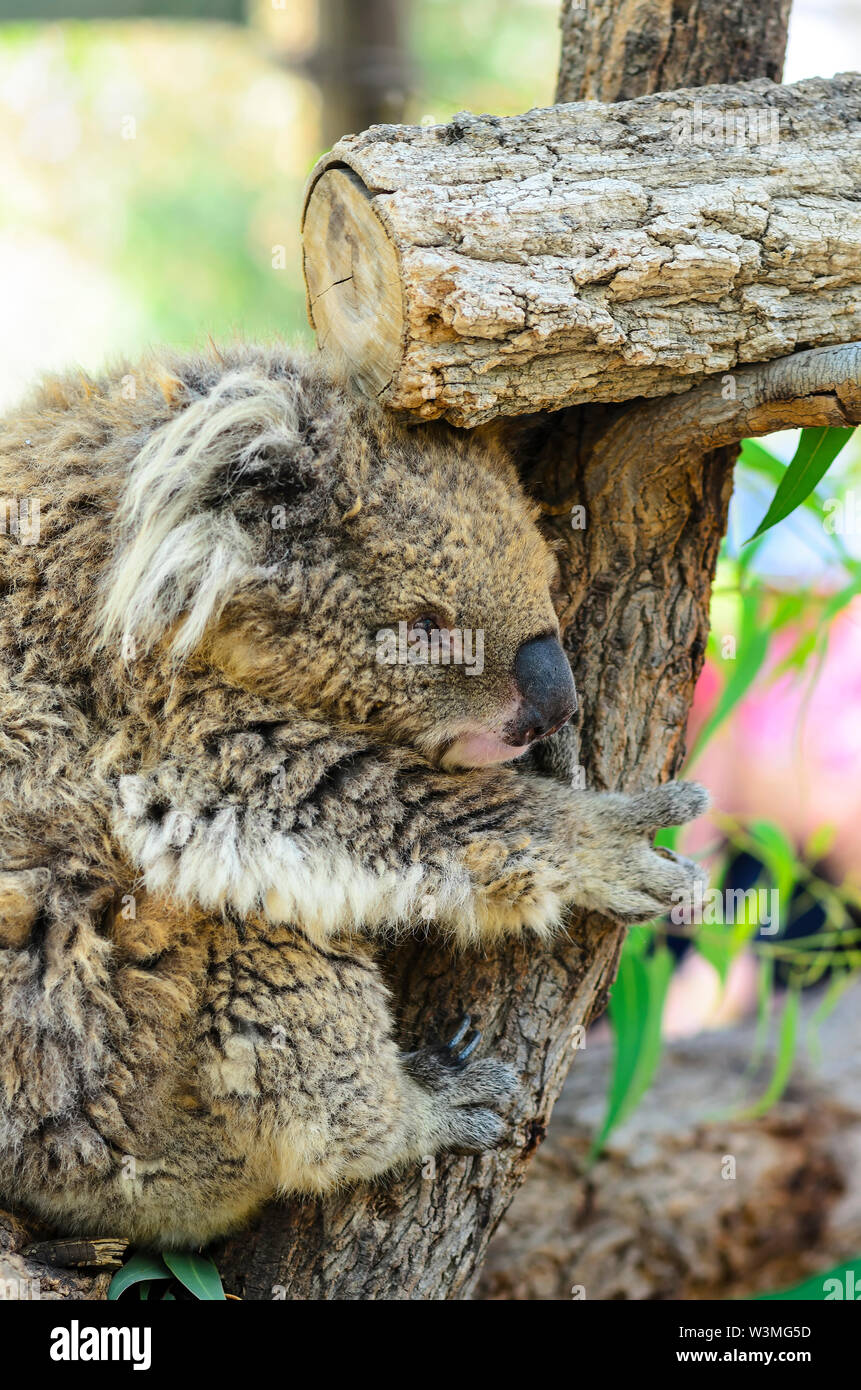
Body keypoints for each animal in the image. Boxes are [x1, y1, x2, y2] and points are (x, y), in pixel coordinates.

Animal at [0, 343, 707, 1245]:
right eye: (423, 628)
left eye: (545, 572)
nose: (552, 707)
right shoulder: (142, 709)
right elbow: (341, 796)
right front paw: (609, 842)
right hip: (125, 1075)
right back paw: (424, 1103)